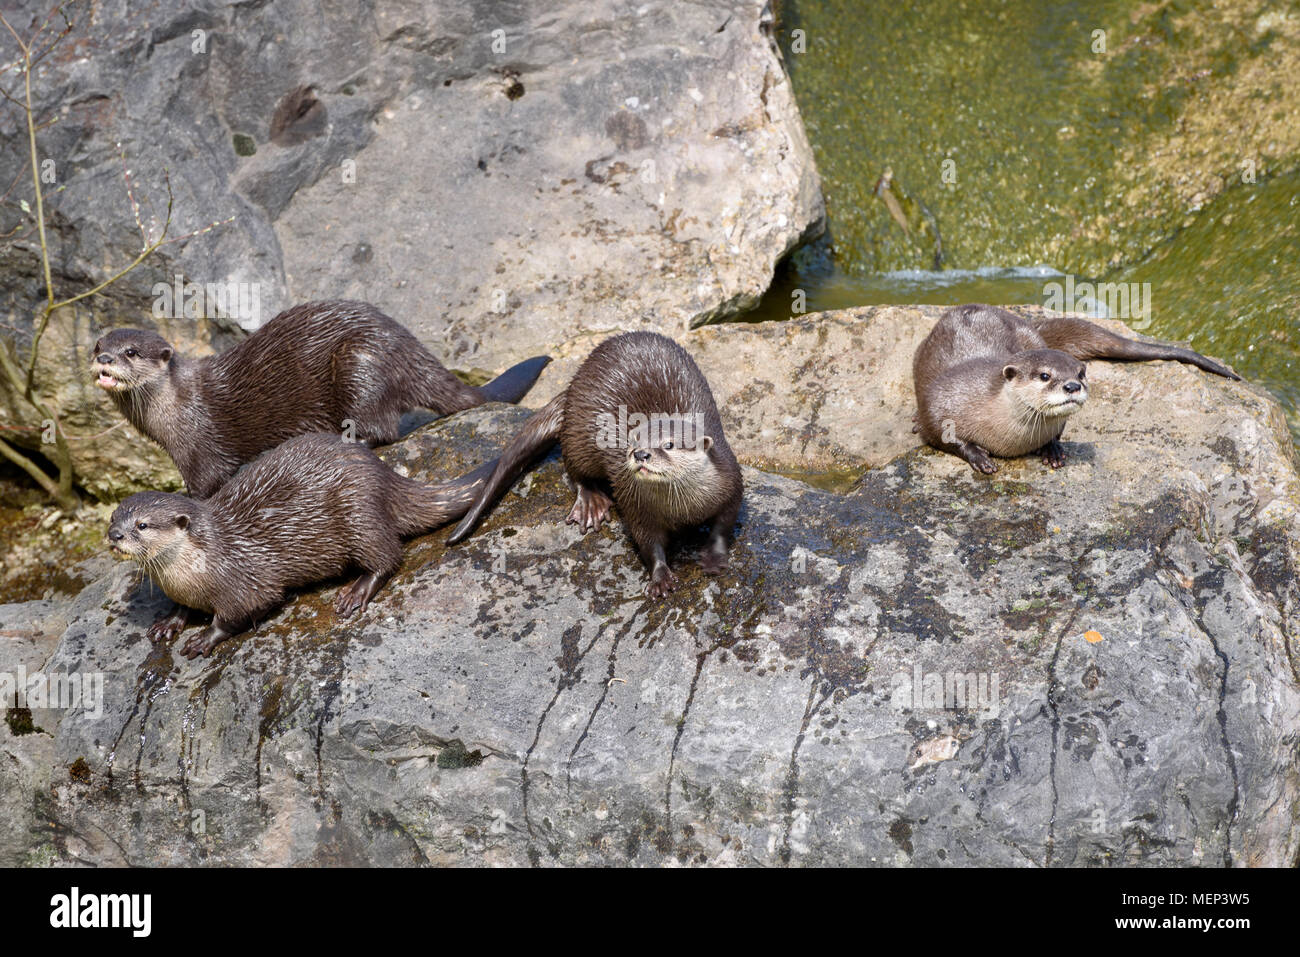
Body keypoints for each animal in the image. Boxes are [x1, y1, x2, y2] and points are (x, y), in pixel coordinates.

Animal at [93, 299, 549, 498]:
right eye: (99, 343)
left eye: (130, 352)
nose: (104, 359)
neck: (175, 411)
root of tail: (407, 345)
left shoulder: (202, 448)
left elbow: (206, 485)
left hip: (359, 363)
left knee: (384, 427)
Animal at [107, 432, 493, 658]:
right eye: (113, 517)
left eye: (142, 525)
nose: (114, 536)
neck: (198, 566)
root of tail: (386, 475)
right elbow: (182, 607)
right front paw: (170, 621)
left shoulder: (244, 580)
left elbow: (242, 610)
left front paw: (205, 637)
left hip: (360, 511)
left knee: (388, 556)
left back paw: (355, 592)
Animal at [447, 331, 743, 598]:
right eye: (634, 439)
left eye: (668, 444)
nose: (640, 454)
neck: (684, 509)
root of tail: (572, 387)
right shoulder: (637, 508)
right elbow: (649, 544)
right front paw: (660, 577)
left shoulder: (731, 481)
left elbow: (723, 525)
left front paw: (714, 558)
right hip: (579, 435)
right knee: (574, 467)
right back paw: (590, 503)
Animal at [913, 304, 1241, 473]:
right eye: (1045, 375)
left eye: (1081, 373)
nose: (1072, 386)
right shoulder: (942, 402)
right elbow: (942, 434)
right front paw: (979, 456)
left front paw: (1052, 449)